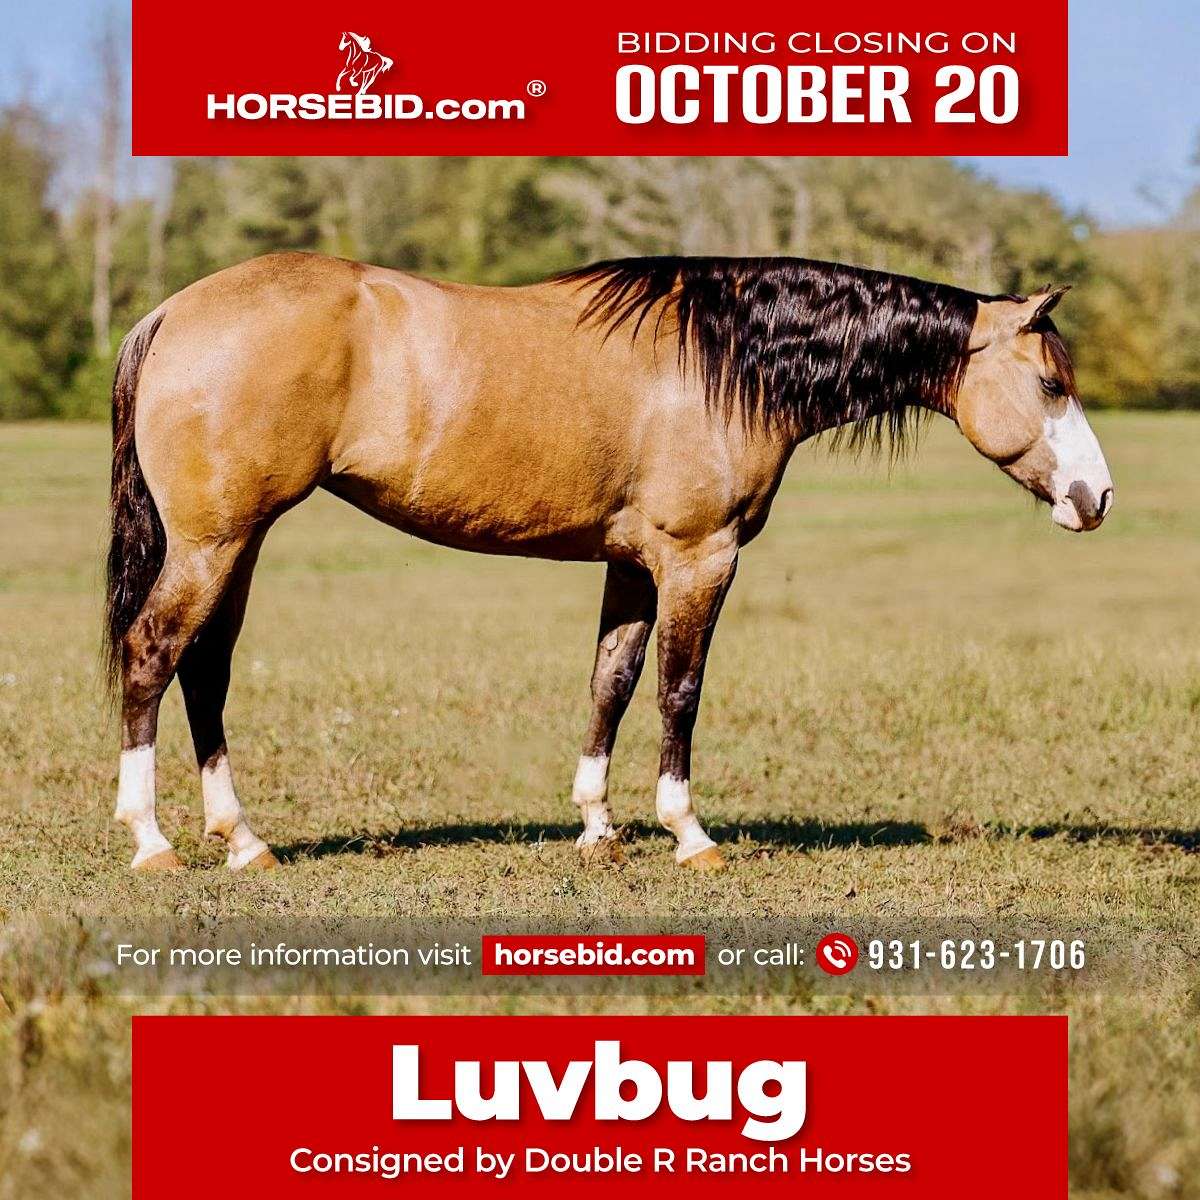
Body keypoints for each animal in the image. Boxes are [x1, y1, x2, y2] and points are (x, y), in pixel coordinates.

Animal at [104, 252, 1114, 874]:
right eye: (1049, 383)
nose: (1097, 497)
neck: (724, 360)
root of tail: (168, 311)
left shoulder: (631, 565)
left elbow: (611, 683)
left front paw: (597, 827)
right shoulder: (699, 560)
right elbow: (678, 690)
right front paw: (688, 833)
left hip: (238, 544)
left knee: (205, 668)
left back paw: (243, 840)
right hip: (214, 544)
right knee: (154, 655)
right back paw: (153, 841)